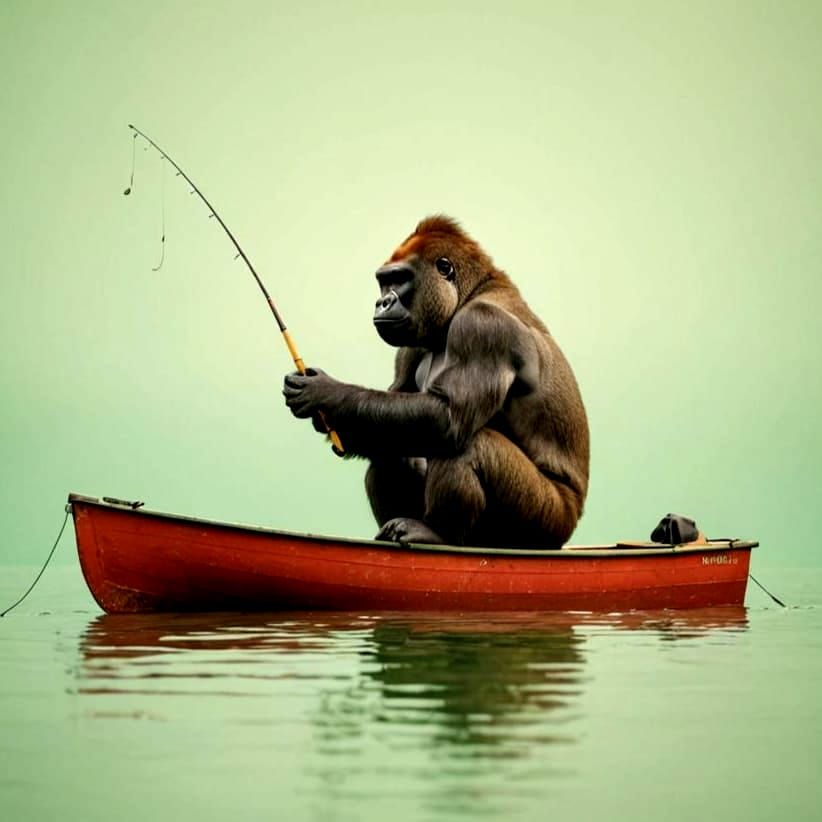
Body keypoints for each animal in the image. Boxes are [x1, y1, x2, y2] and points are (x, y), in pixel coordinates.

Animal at [283, 216, 590, 549]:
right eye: (384, 282)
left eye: (400, 278)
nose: (382, 302)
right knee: (390, 444)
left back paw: (439, 533)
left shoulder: (483, 325)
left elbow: (446, 417)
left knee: (469, 446)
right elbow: (385, 418)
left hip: (548, 522)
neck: (470, 292)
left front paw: (327, 394)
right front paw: (329, 419)